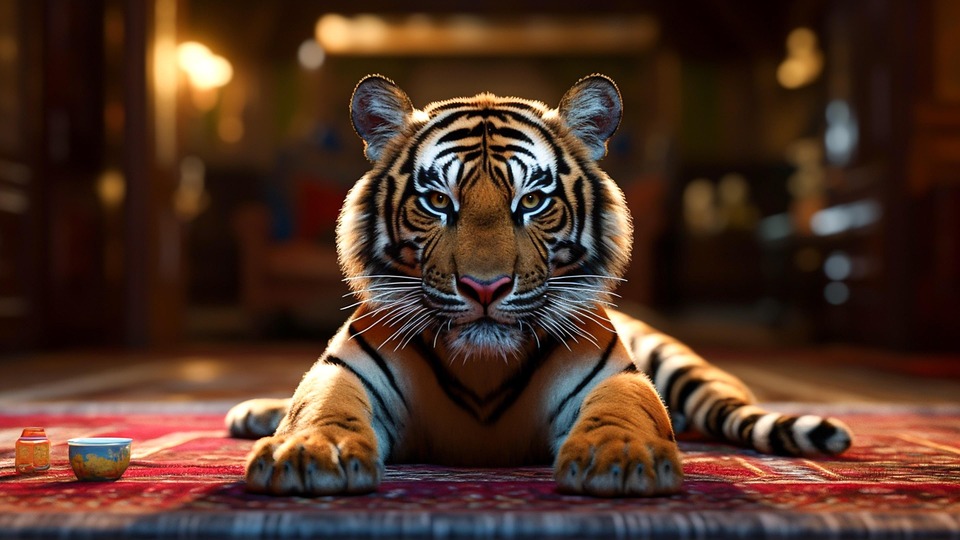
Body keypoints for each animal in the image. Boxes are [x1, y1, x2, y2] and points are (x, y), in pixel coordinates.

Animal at [226, 74, 853, 497]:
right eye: (437, 201)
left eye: (531, 201)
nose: (484, 288)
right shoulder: (345, 371)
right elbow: (319, 406)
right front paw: (311, 452)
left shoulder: (617, 377)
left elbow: (623, 412)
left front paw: (619, 457)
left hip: (685, 368)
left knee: (728, 409)